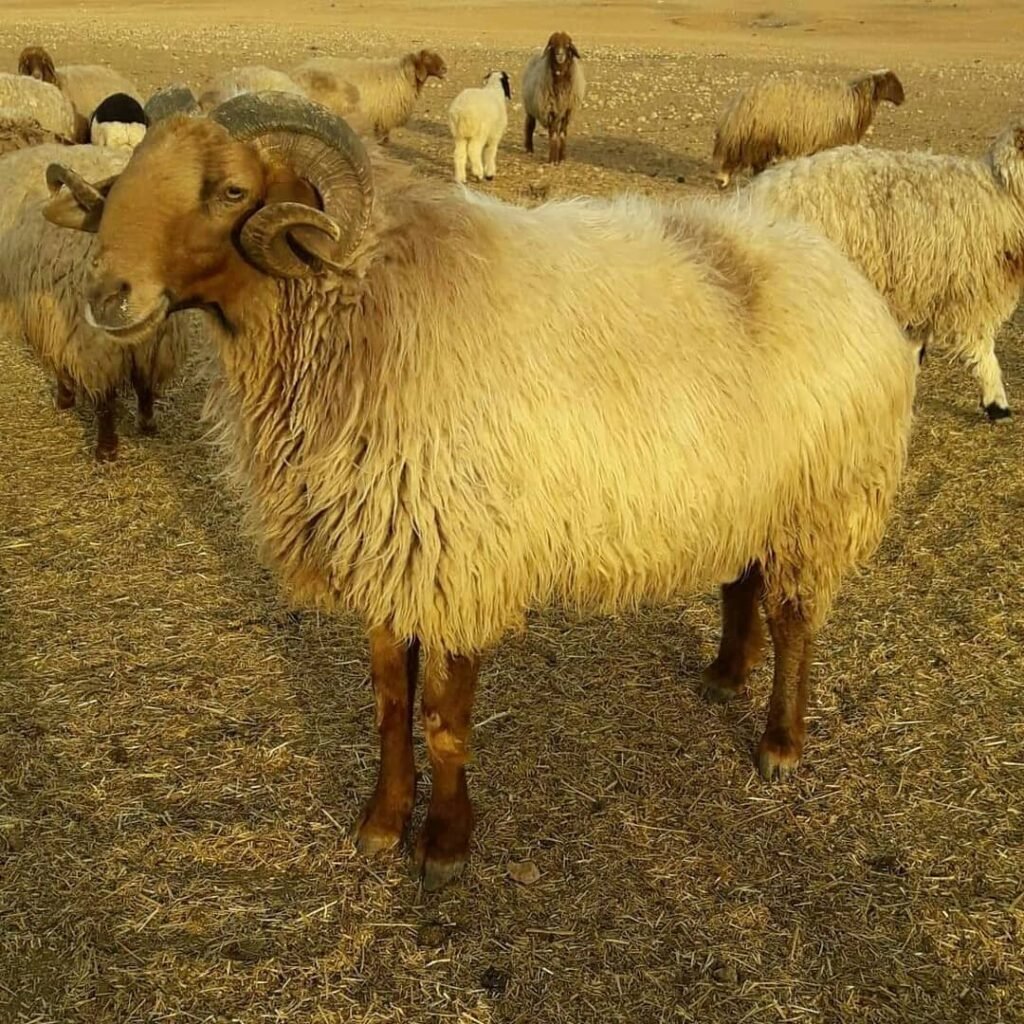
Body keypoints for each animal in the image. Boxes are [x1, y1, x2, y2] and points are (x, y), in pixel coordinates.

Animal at [46, 92, 918, 887]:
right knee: (744, 579)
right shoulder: (387, 548)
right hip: (751, 492)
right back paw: (725, 673)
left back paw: (780, 742)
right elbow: (390, 707)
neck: (369, 300)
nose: (106, 296)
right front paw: (381, 824)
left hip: (817, 502)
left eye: (229, 190)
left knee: (795, 619)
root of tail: (839, 267)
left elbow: (443, 719)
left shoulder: (458, 558)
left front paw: (443, 846)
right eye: (129, 171)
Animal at [292, 49, 447, 142]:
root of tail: (296, 71)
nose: (445, 68)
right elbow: (383, 140)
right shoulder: (384, 117)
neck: (402, 75)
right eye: (427, 58)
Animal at [522, 31, 586, 164]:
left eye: (567, 45)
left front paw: (561, 158)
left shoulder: (567, 110)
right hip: (530, 107)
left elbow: (562, 134)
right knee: (529, 126)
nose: (559, 55)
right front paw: (552, 159)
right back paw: (529, 149)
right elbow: (553, 134)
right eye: (553, 45)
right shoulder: (550, 110)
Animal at [713, 70, 905, 188]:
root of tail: (741, 101)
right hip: (759, 136)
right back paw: (724, 179)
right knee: (745, 159)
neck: (854, 101)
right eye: (891, 83)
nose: (903, 99)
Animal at [740, 124, 1024, 420]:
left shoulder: (920, 291)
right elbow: (981, 348)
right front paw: (997, 404)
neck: (1000, 195)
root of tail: (756, 192)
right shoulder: (969, 293)